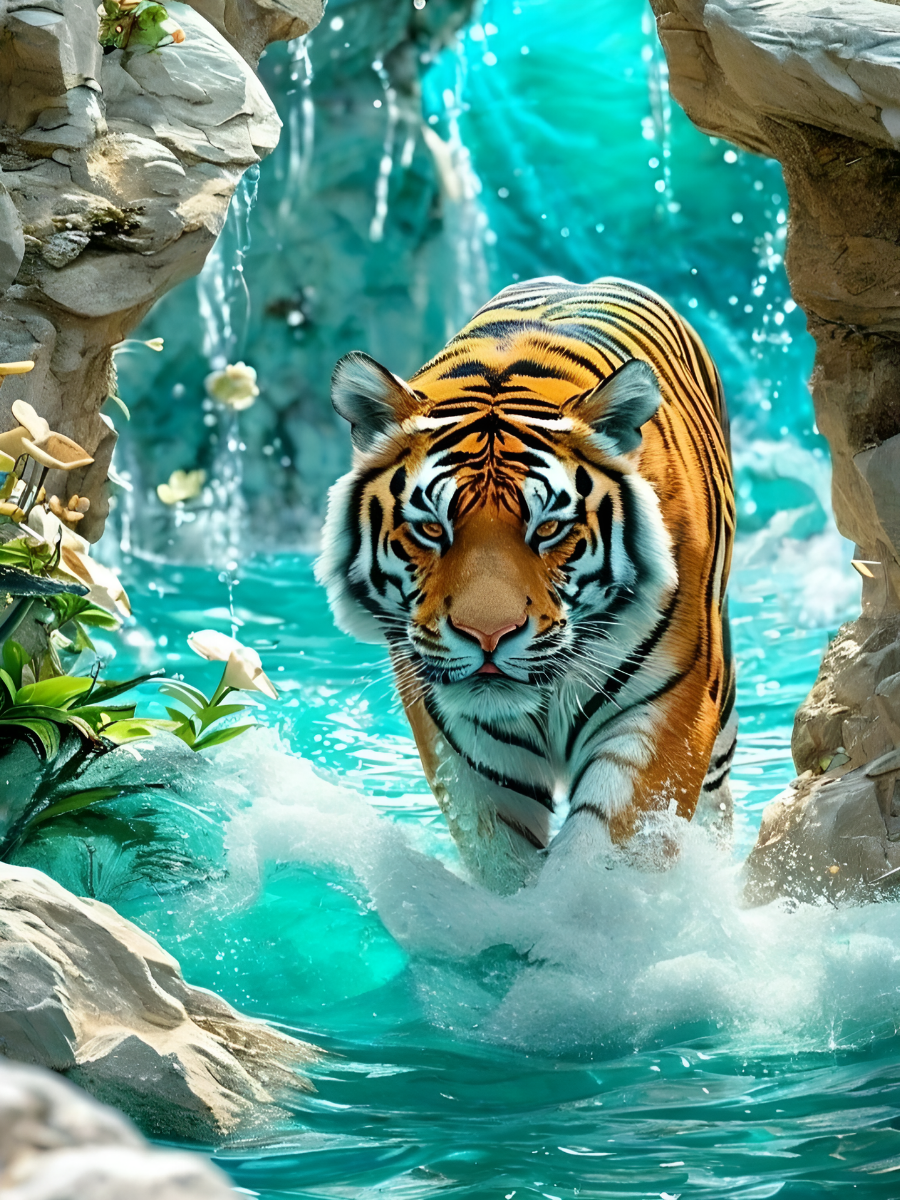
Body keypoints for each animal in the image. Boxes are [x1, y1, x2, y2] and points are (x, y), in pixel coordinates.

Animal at [316, 276, 736, 893]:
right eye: (431, 528)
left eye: (548, 528)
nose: (488, 637)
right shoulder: (463, 738)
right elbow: (503, 858)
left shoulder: (666, 710)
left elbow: (603, 857)